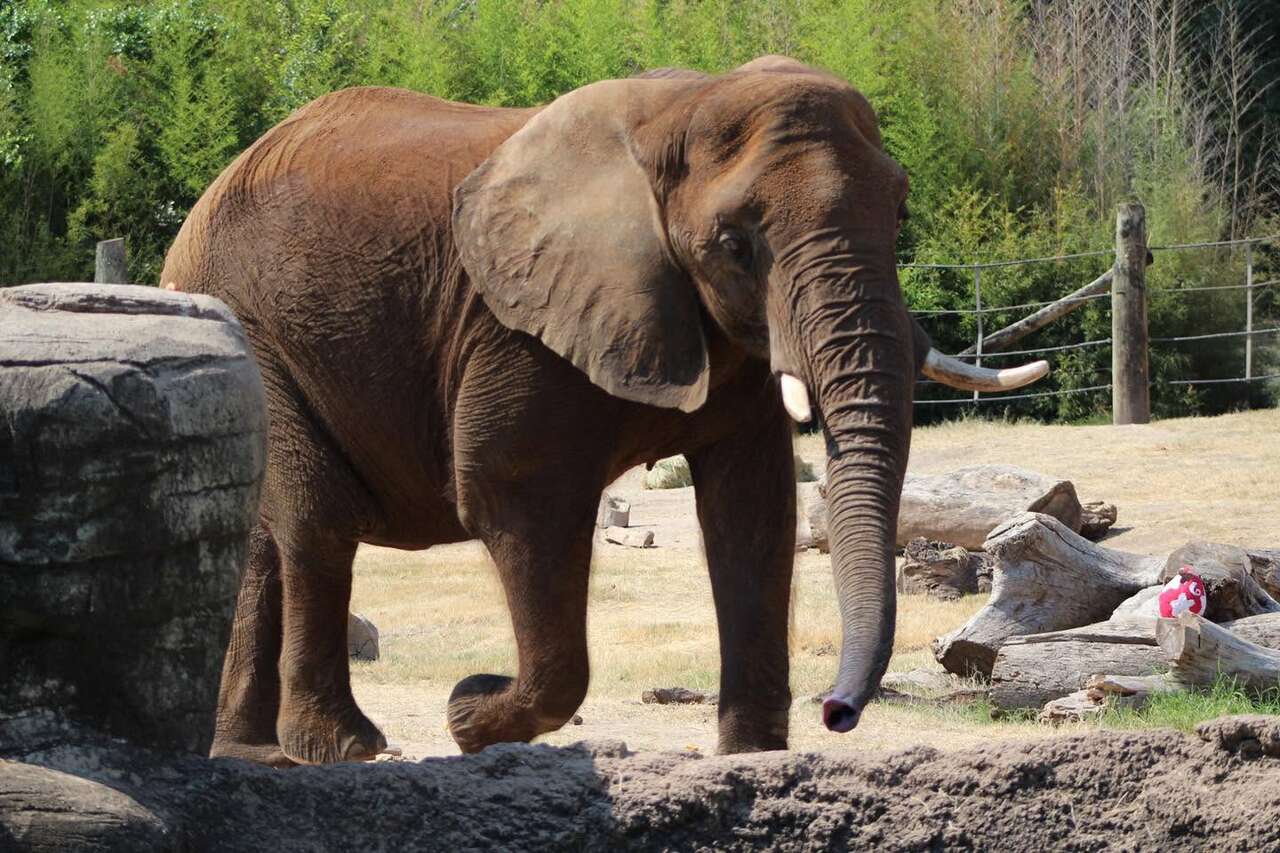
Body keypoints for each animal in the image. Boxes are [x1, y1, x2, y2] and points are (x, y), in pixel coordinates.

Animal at [161, 55, 1046, 767]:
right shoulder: (515, 332)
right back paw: (344, 748)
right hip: (252, 331)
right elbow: (514, 495)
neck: (684, 109)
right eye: (736, 245)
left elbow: (753, 507)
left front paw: (752, 757)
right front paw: (468, 714)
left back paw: (251, 754)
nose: (837, 712)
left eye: (898, 213)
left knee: (263, 540)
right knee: (317, 526)